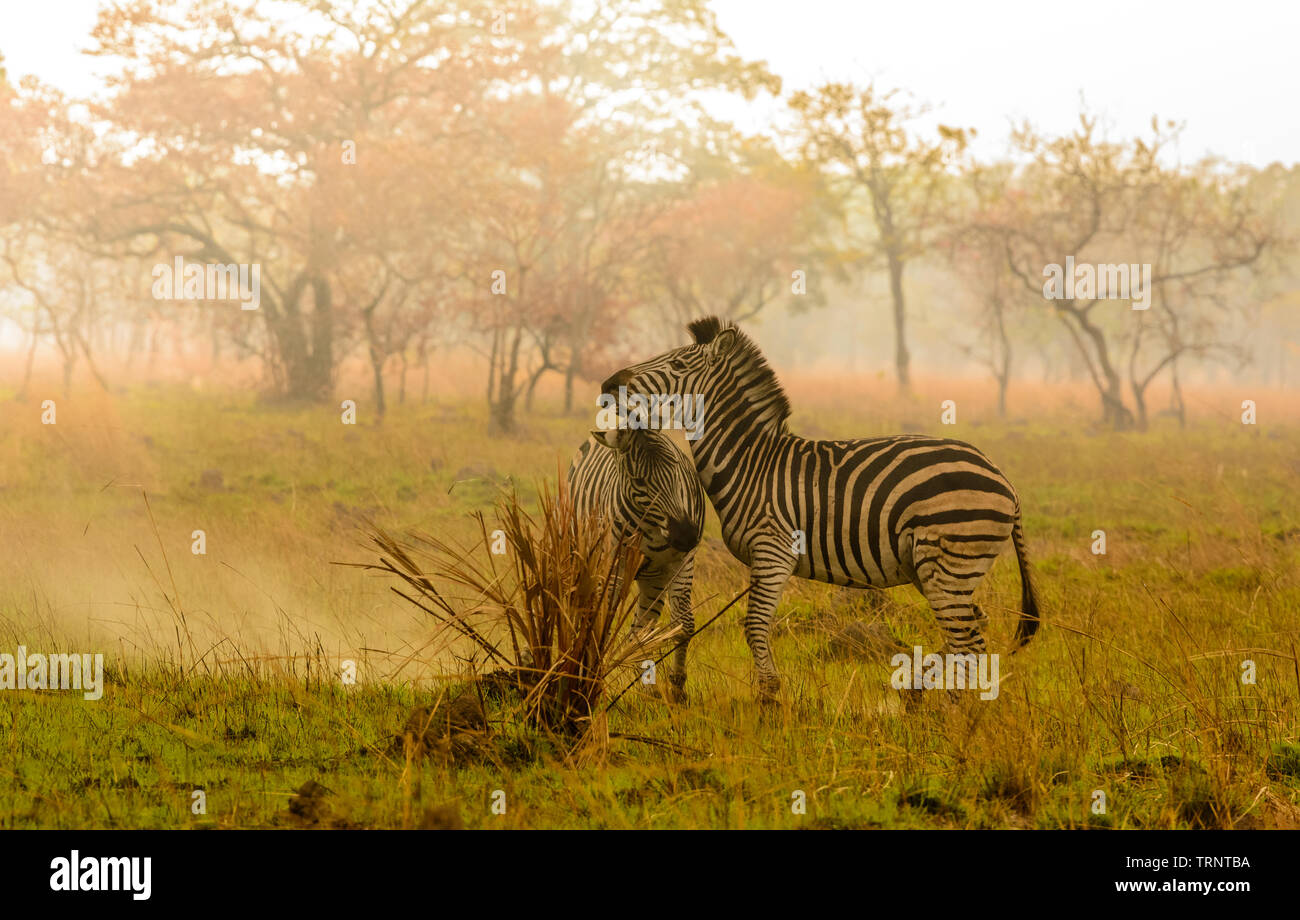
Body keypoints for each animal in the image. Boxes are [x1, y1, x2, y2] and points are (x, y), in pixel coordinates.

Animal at [567, 426, 707, 698]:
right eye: (639, 481)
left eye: (676, 466)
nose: (686, 535)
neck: (653, 528)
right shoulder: (613, 565)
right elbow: (602, 623)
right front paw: (592, 683)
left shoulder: (683, 562)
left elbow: (683, 624)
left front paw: (677, 688)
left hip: (654, 579)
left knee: (642, 628)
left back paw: (648, 685)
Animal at [600, 316, 1041, 703]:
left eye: (676, 364)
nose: (608, 384)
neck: (751, 462)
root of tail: (1003, 479)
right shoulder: (768, 558)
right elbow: (757, 624)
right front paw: (769, 696)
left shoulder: (773, 550)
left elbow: (755, 625)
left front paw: (769, 701)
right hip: (937, 570)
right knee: (972, 630)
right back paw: (925, 697)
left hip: (948, 562)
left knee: (968, 641)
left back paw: (954, 714)